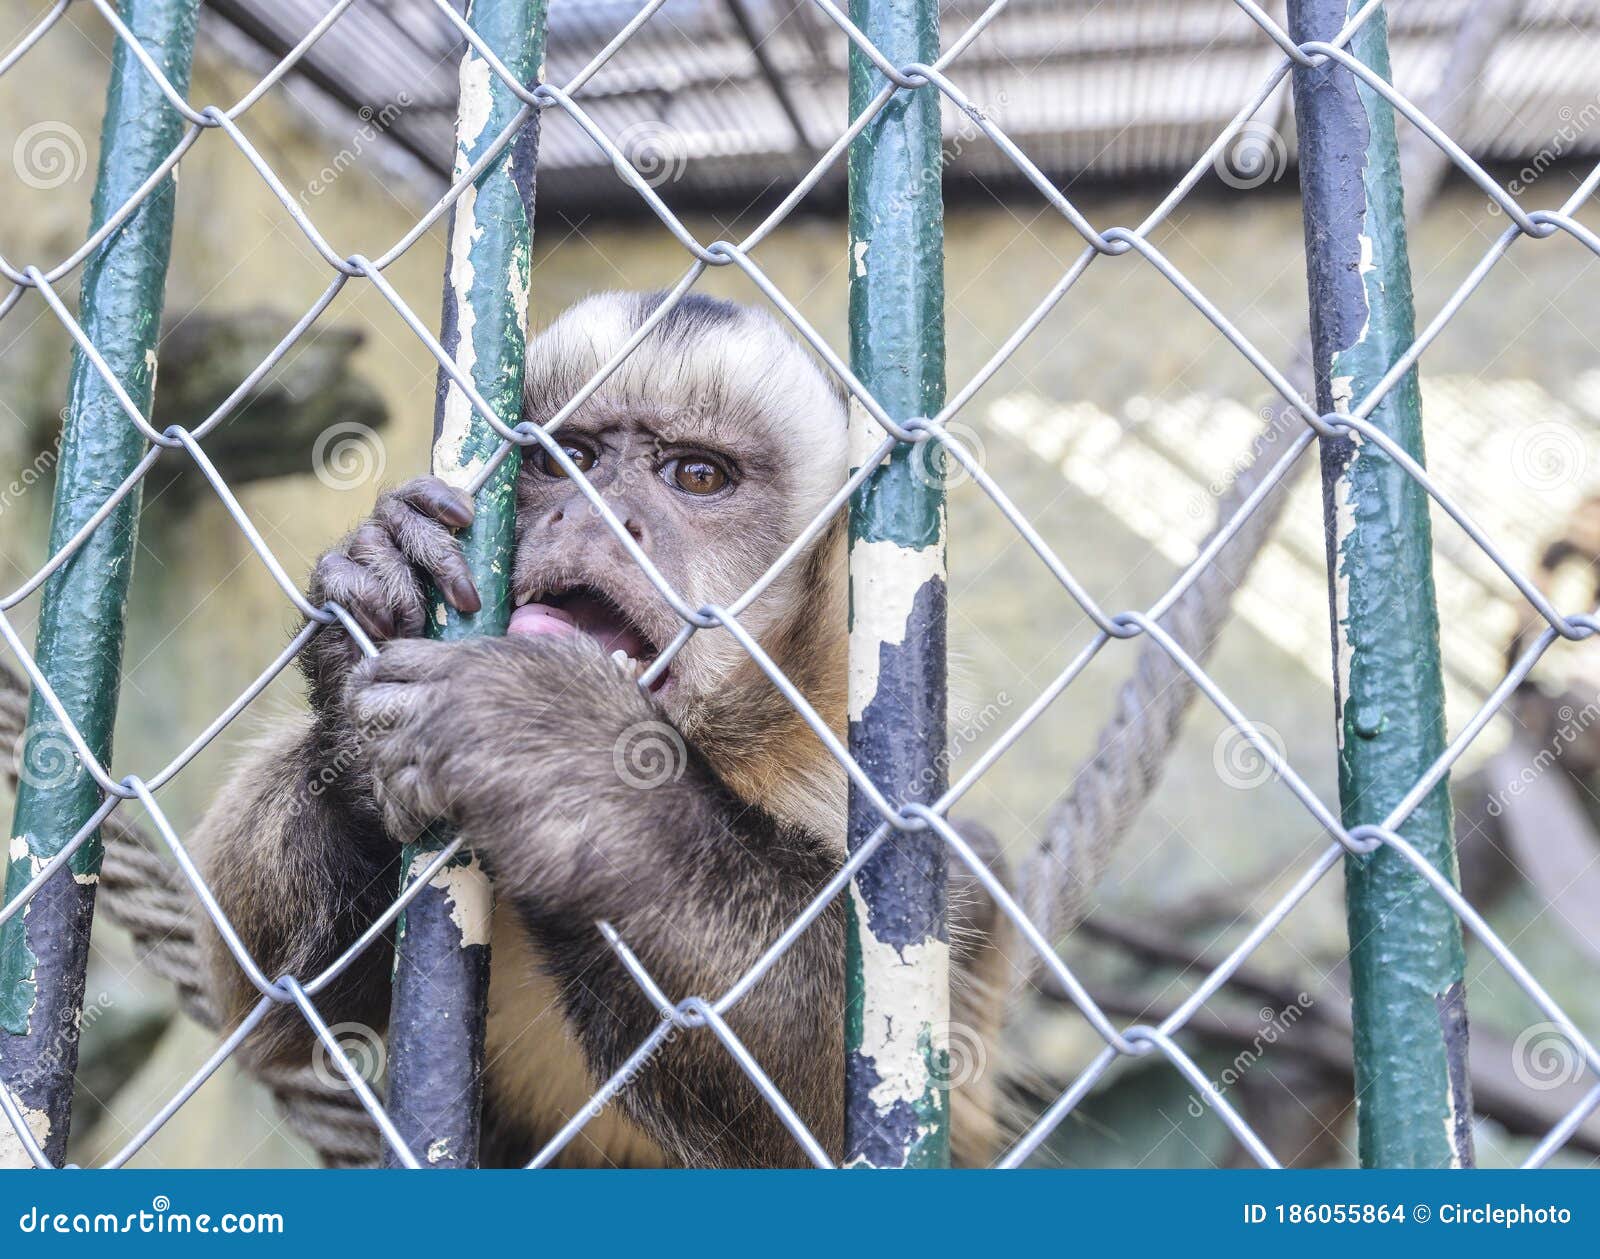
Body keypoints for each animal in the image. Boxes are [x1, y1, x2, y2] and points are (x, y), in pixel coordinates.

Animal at [196, 291, 1013, 1168]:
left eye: (697, 475)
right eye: (572, 459)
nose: (594, 513)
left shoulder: (853, 745)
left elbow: (852, 1105)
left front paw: (565, 765)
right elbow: (282, 1016)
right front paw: (376, 594)